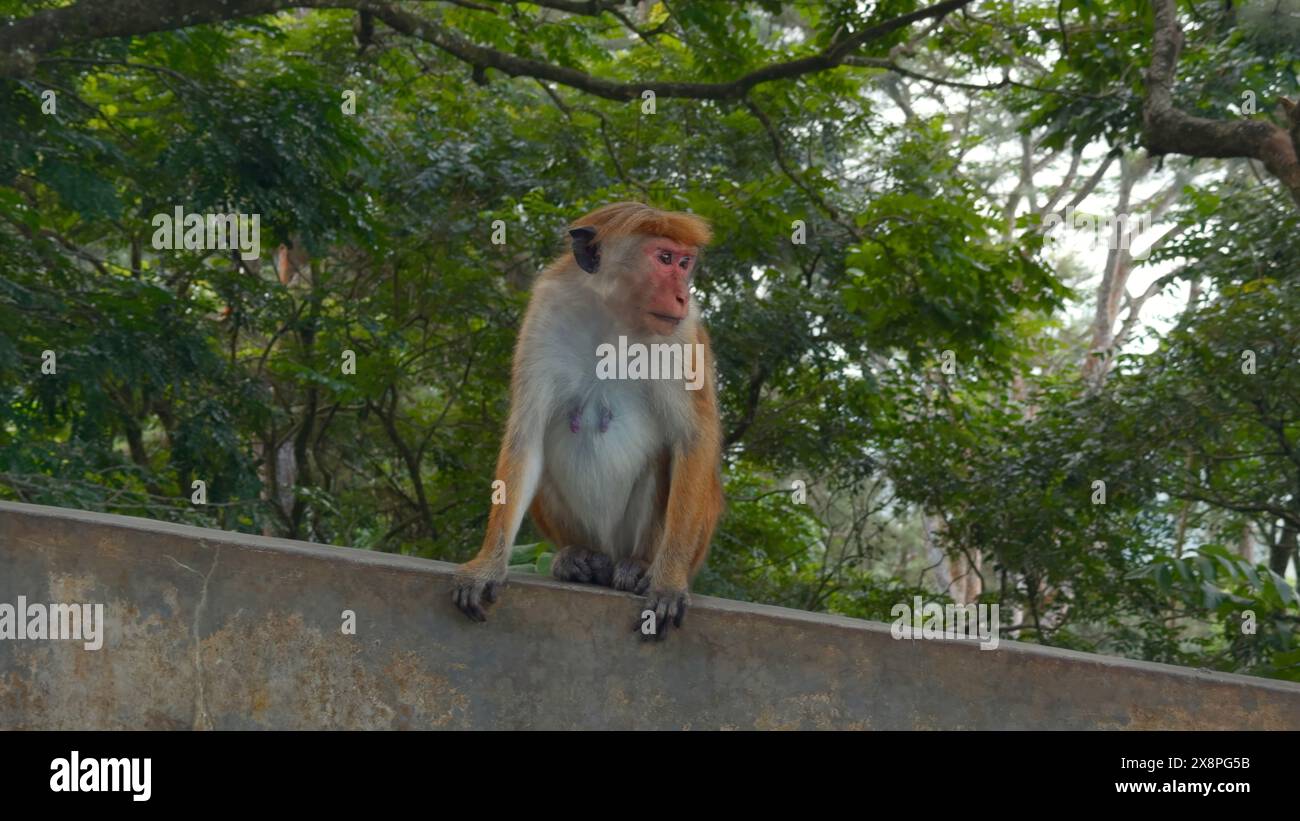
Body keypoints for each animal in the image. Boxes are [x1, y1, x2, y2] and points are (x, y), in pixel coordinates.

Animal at [451, 202, 725, 640]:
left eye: (686, 263)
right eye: (665, 258)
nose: (683, 295)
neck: (613, 317)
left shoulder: (681, 336)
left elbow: (693, 438)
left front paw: (667, 582)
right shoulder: (544, 314)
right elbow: (526, 437)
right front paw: (487, 565)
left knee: (664, 459)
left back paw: (639, 566)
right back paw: (578, 557)